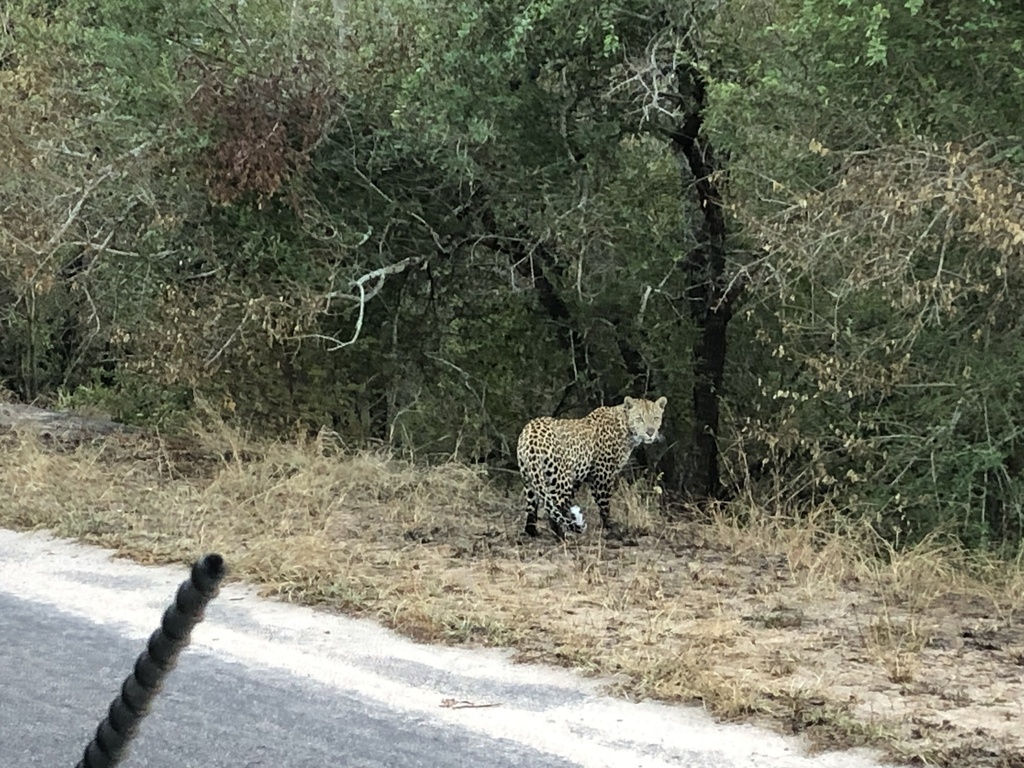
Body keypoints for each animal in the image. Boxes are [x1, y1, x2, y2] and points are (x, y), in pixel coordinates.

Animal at [517, 396, 668, 539]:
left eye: (656, 418)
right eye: (639, 418)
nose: (650, 432)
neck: (626, 429)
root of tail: (531, 436)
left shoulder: (578, 475)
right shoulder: (603, 473)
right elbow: (604, 504)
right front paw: (610, 527)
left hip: (530, 477)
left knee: (533, 507)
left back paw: (533, 532)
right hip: (560, 479)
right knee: (554, 507)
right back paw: (562, 537)